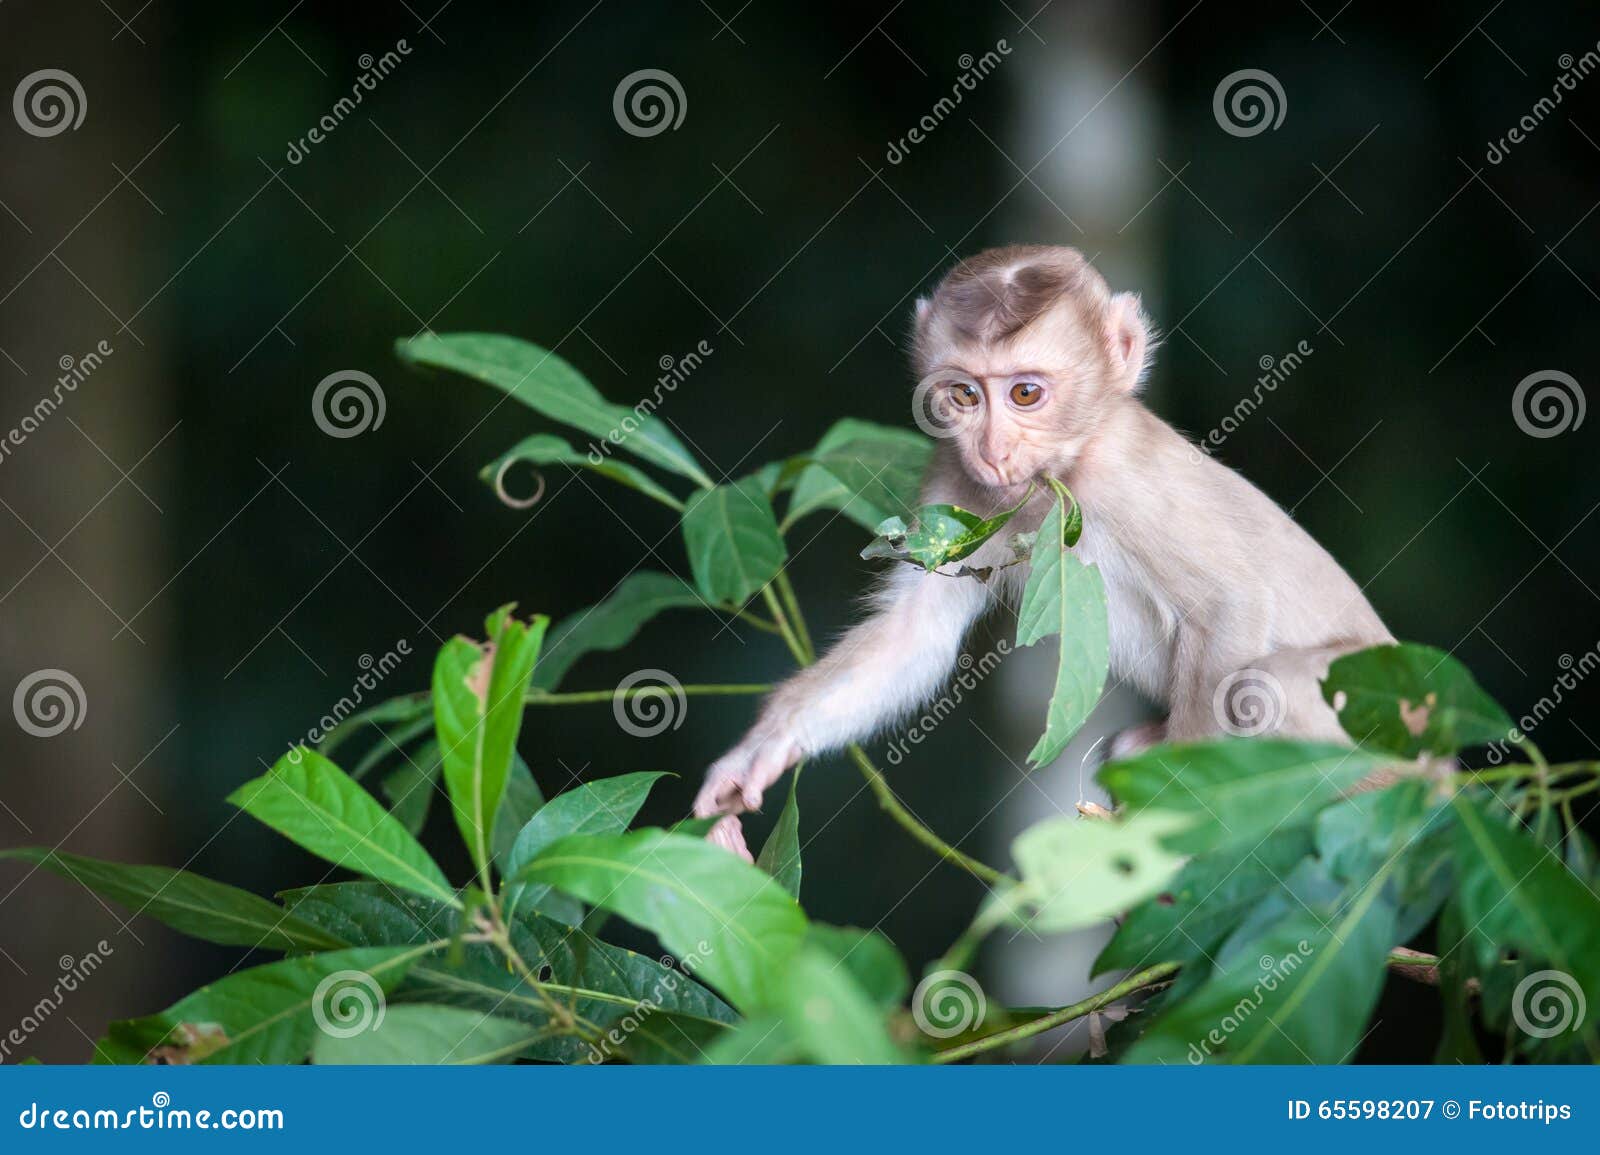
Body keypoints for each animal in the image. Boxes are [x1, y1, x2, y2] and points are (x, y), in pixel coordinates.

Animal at [693, 244, 1393, 859]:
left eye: (1025, 394)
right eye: (965, 395)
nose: (993, 450)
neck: (1065, 471)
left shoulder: (1123, 480)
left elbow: (1231, 602)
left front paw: (1177, 825)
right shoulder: (953, 481)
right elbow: (915, 635)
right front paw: (765, 747)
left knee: (1264, 686)